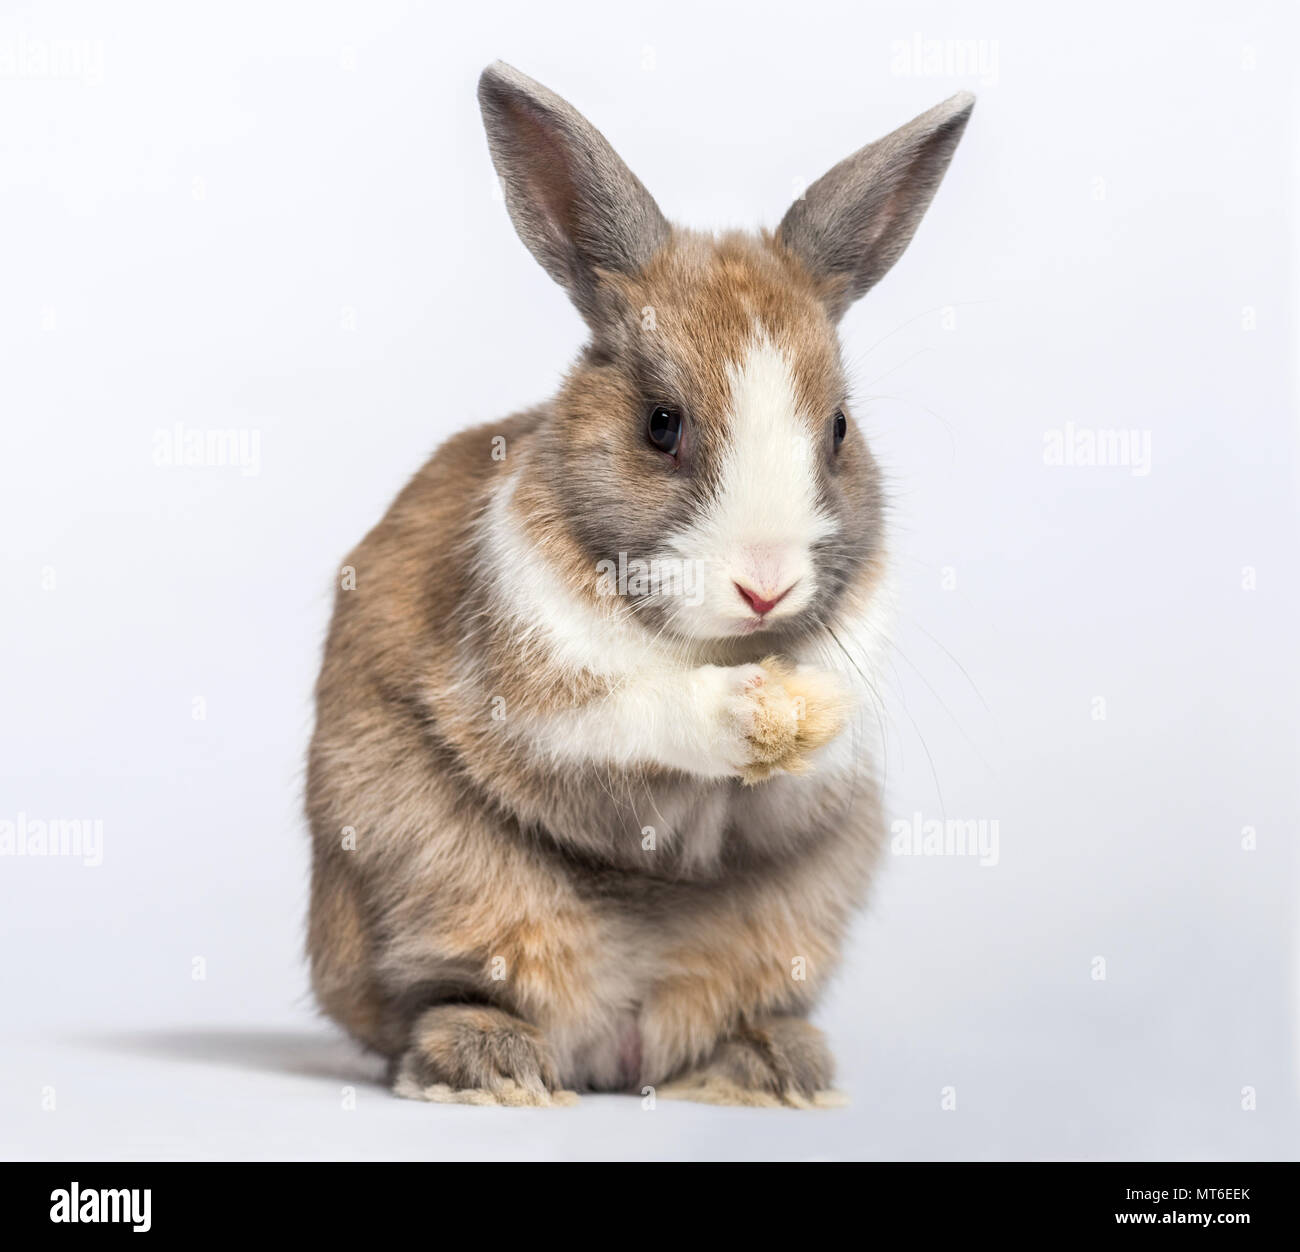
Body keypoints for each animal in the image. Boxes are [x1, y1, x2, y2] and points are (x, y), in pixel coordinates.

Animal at [305, 61, 973, 1107]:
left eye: (837, 427)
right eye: (661, 425)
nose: (766, 587)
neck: (712, 642)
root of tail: (616, 1050)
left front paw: (796, 716)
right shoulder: (539, 691)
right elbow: (631, 714)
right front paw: (746, 712)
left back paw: (773, 1068)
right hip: (429, 881)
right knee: (433, 1002)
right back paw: (490, 1065)